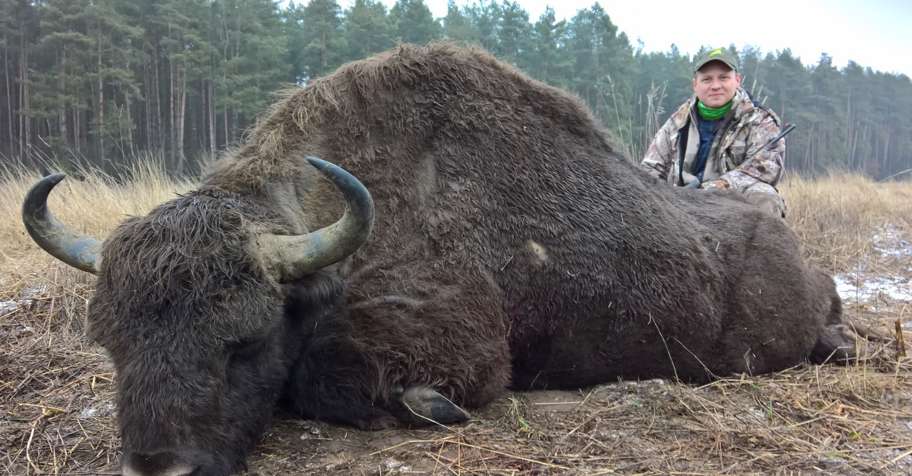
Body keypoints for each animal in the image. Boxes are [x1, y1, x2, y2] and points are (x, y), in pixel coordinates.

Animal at [23, 43, 855, 476]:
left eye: (245, 340)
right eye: (112, 341)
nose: (160, 465)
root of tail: (788, 245)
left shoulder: (463, 348)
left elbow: (340, 378)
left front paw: (433, 408)